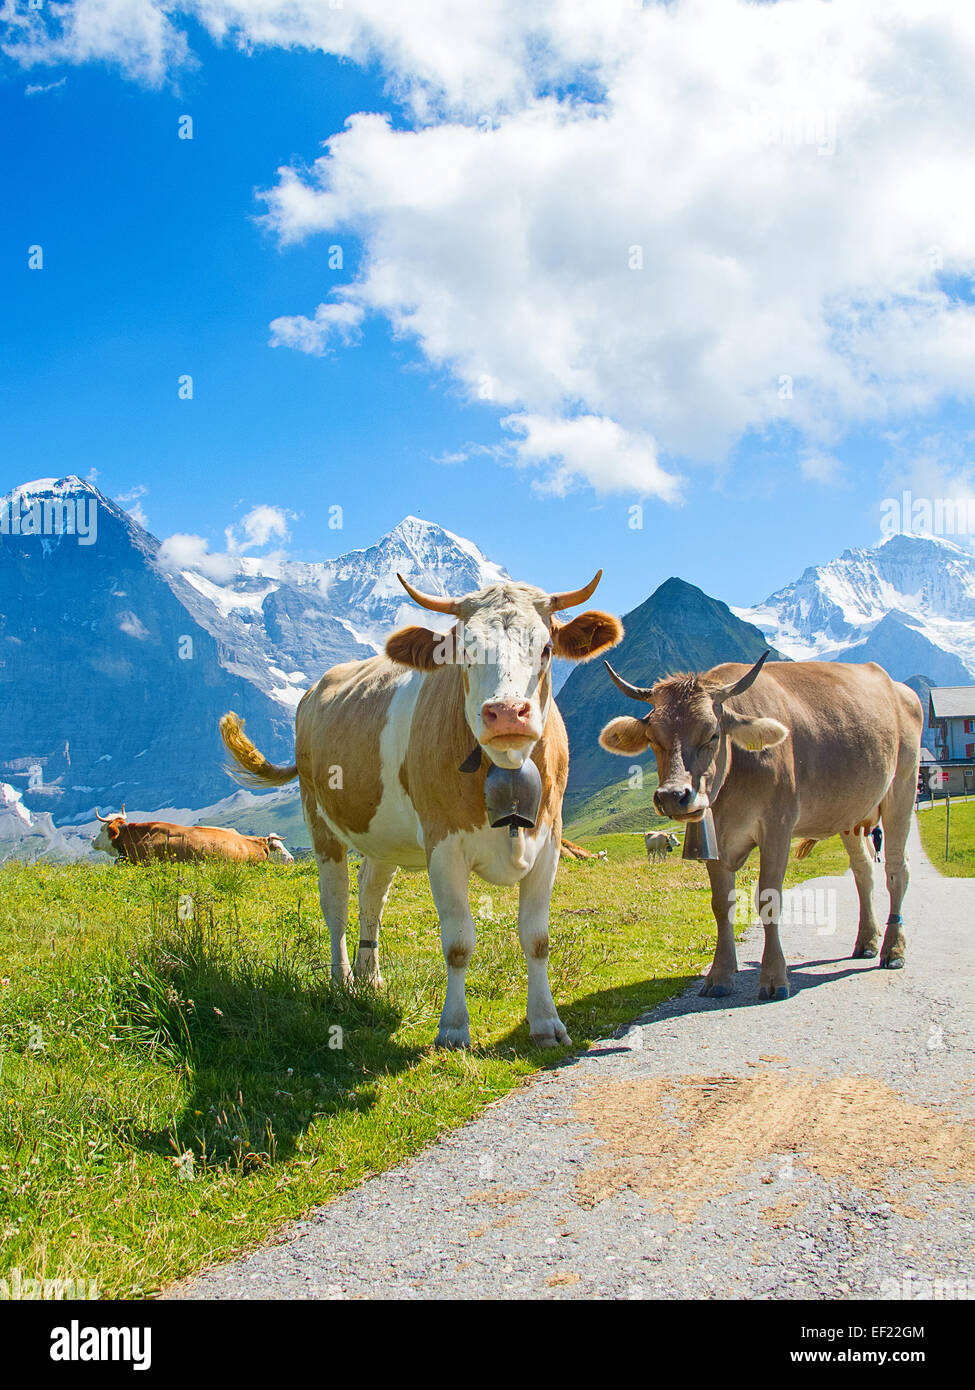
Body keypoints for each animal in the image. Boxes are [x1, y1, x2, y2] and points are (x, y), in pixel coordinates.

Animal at [219, 572, 623, 1048]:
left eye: (545, 648)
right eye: (464, 650)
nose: (507, 712)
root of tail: (316, 689)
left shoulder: (548, 843)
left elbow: (537, 938)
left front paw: (545, 1023)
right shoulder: (443, 847)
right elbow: (458, 943)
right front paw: (453, 1029)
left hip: (383, 835)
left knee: (371, 895)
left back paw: (370, 976)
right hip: (319, 820)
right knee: (335, 901)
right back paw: (342, 981)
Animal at [598, 654, 922, 1000]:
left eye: (712, 734)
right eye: (653, 738)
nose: (673, 796)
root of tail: (898, 687)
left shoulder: (777, 827)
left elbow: (769, 899)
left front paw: (774, 977)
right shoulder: (716, 840)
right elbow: (721, 904)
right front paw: (719, 975)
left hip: (902, 789)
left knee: (896, 870)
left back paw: (893, 950)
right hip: (850, 814)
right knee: (863, 872)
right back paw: (866, 941)